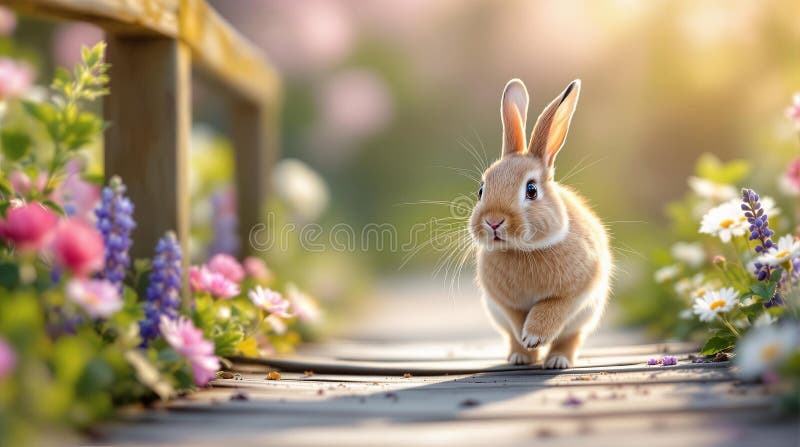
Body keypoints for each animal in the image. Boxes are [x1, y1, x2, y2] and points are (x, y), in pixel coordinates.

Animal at [469, 78, 611, 369]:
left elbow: (552, 309)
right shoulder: (505, 303)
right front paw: (526, 344)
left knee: (570, 339)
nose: (493, 221)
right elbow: (516, 321)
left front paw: (534, 336)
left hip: (583, 320)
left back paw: (557, 360)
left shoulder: (575, 291)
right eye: (481, 190)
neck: (522, 250)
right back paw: (520, 357)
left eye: (531, 190)